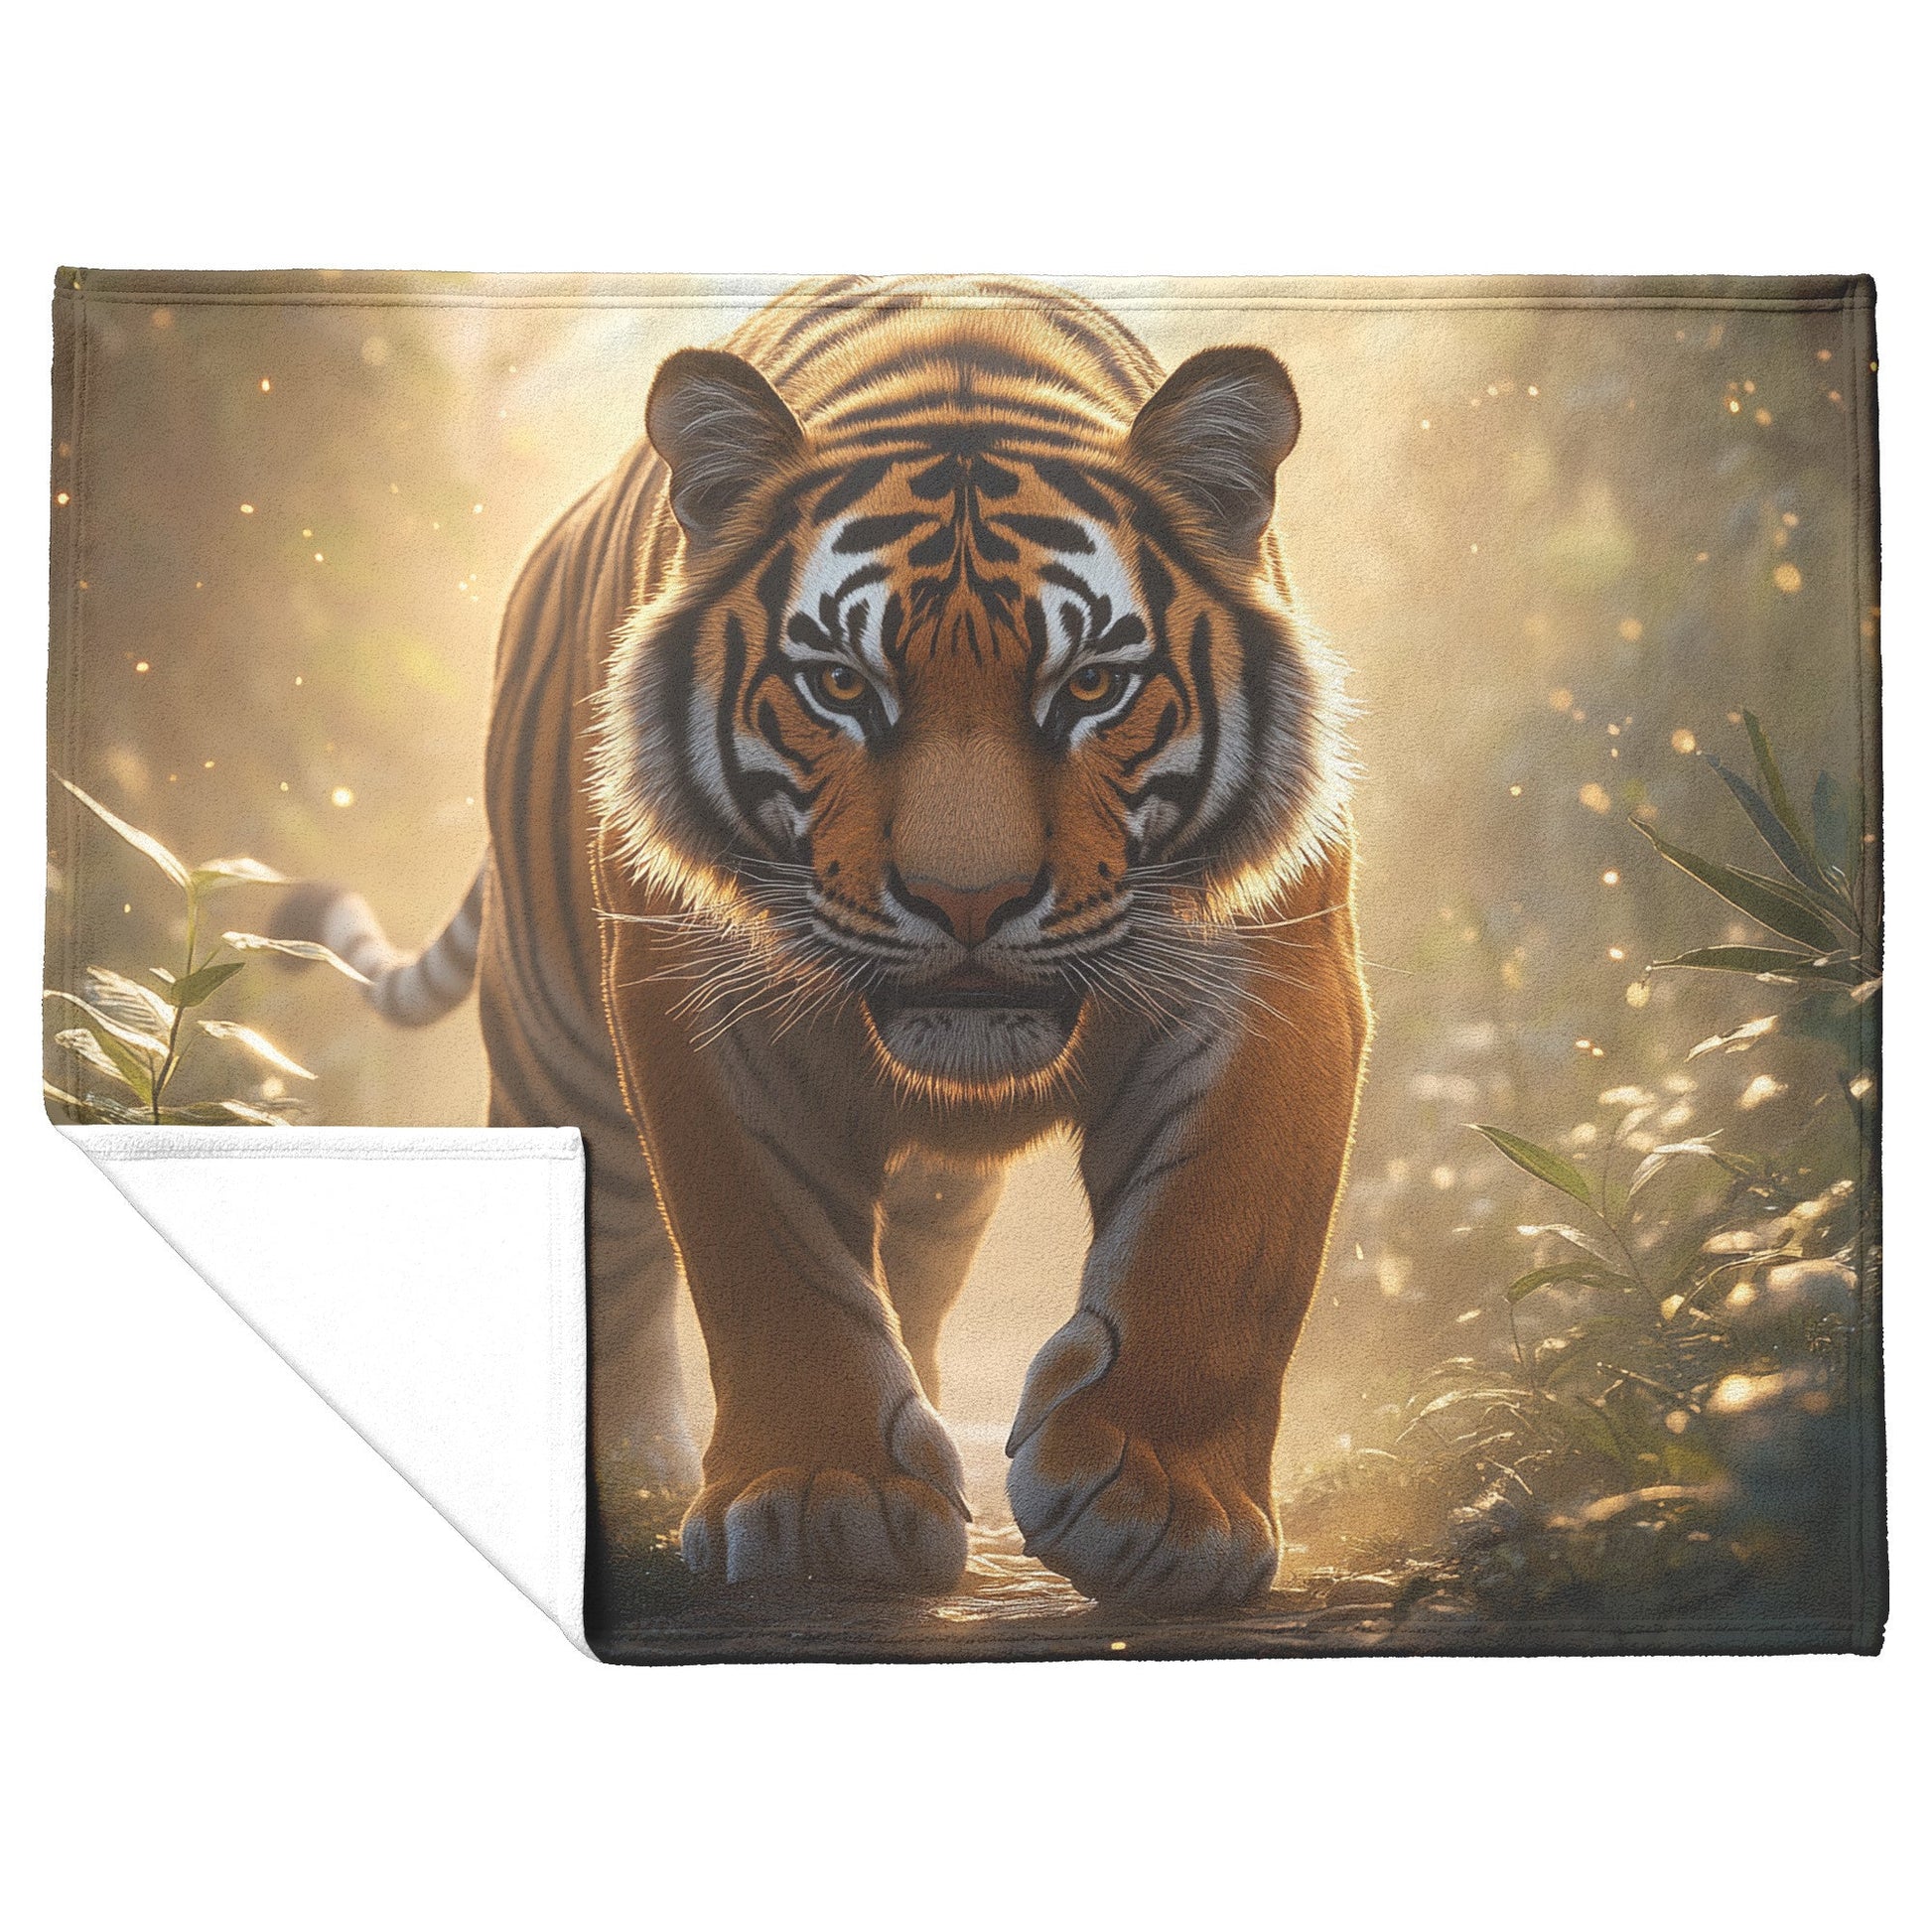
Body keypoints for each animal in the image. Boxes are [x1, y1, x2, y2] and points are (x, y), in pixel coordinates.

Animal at [282, 276, 1370, 1614]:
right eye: (843, 686)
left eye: (1090, 686)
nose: (968, 899)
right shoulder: (701, 1000)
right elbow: (768, 1258)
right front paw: (823, 1502)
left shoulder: (1270, 974)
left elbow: (1213, 1236)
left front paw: (1163, 1506)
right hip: (554, 1054)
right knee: (616, 1265)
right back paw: (639, 1482)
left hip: (942, 1185)